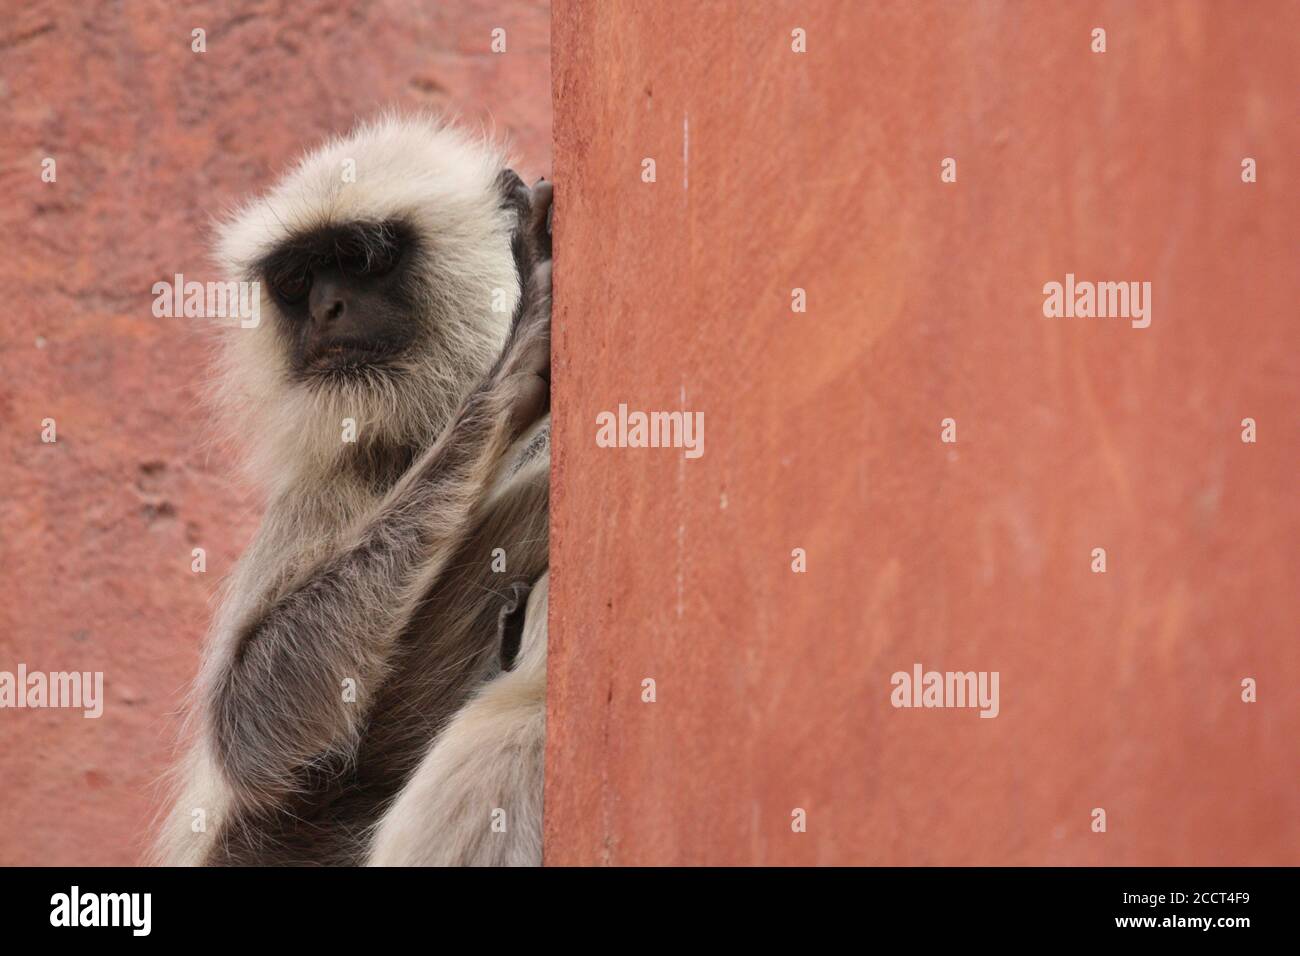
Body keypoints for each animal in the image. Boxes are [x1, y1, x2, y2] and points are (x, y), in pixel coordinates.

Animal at [156, 115, 552, 866]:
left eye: (362, 259)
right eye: (298, 280)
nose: (326, 309)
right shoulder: (329, 483)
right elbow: (249, 718)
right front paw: (510, 376)